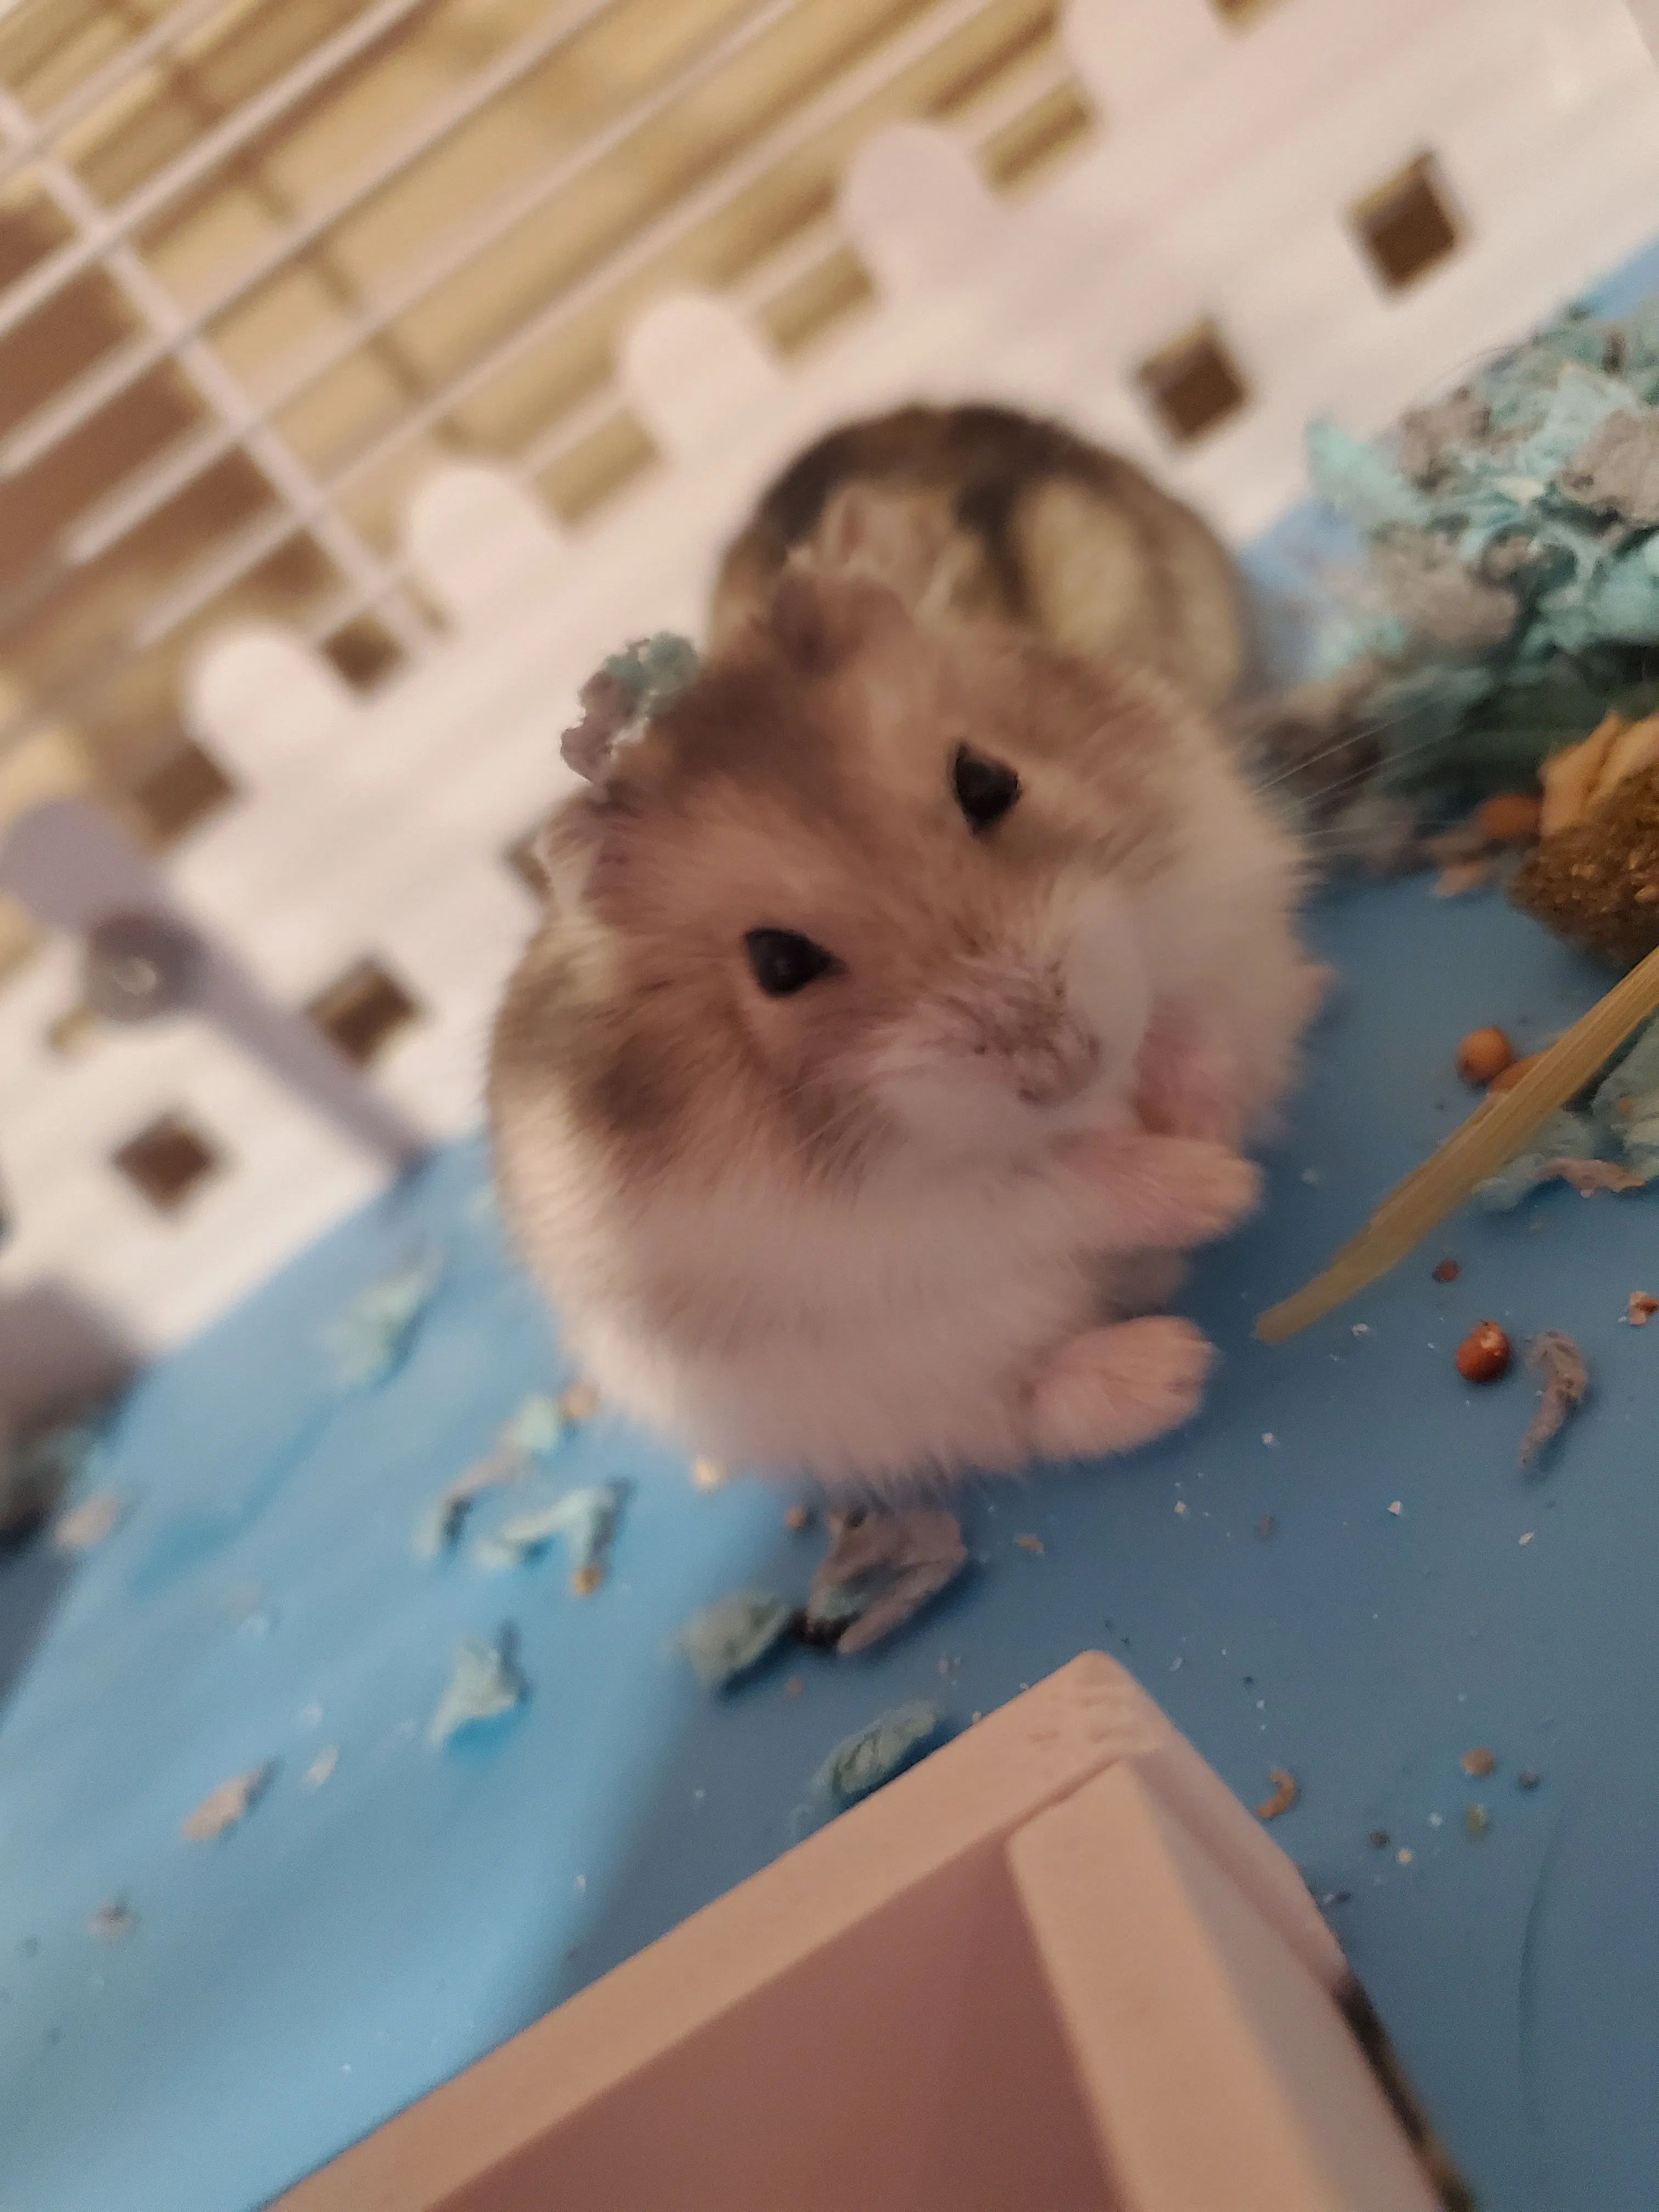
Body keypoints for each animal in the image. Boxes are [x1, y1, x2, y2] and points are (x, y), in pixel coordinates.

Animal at [489, 487, 1320, 1491]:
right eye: (776, 962)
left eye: (987, 779)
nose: (1066, 1067)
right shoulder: (867, 1235)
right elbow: (1042, 1189)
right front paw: (1217, 1185)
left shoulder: (1208, 908)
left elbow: (1193, 1021)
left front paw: (1212, 1131)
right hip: (863, 1399)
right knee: (1011, 1412)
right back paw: (1169, 1368)